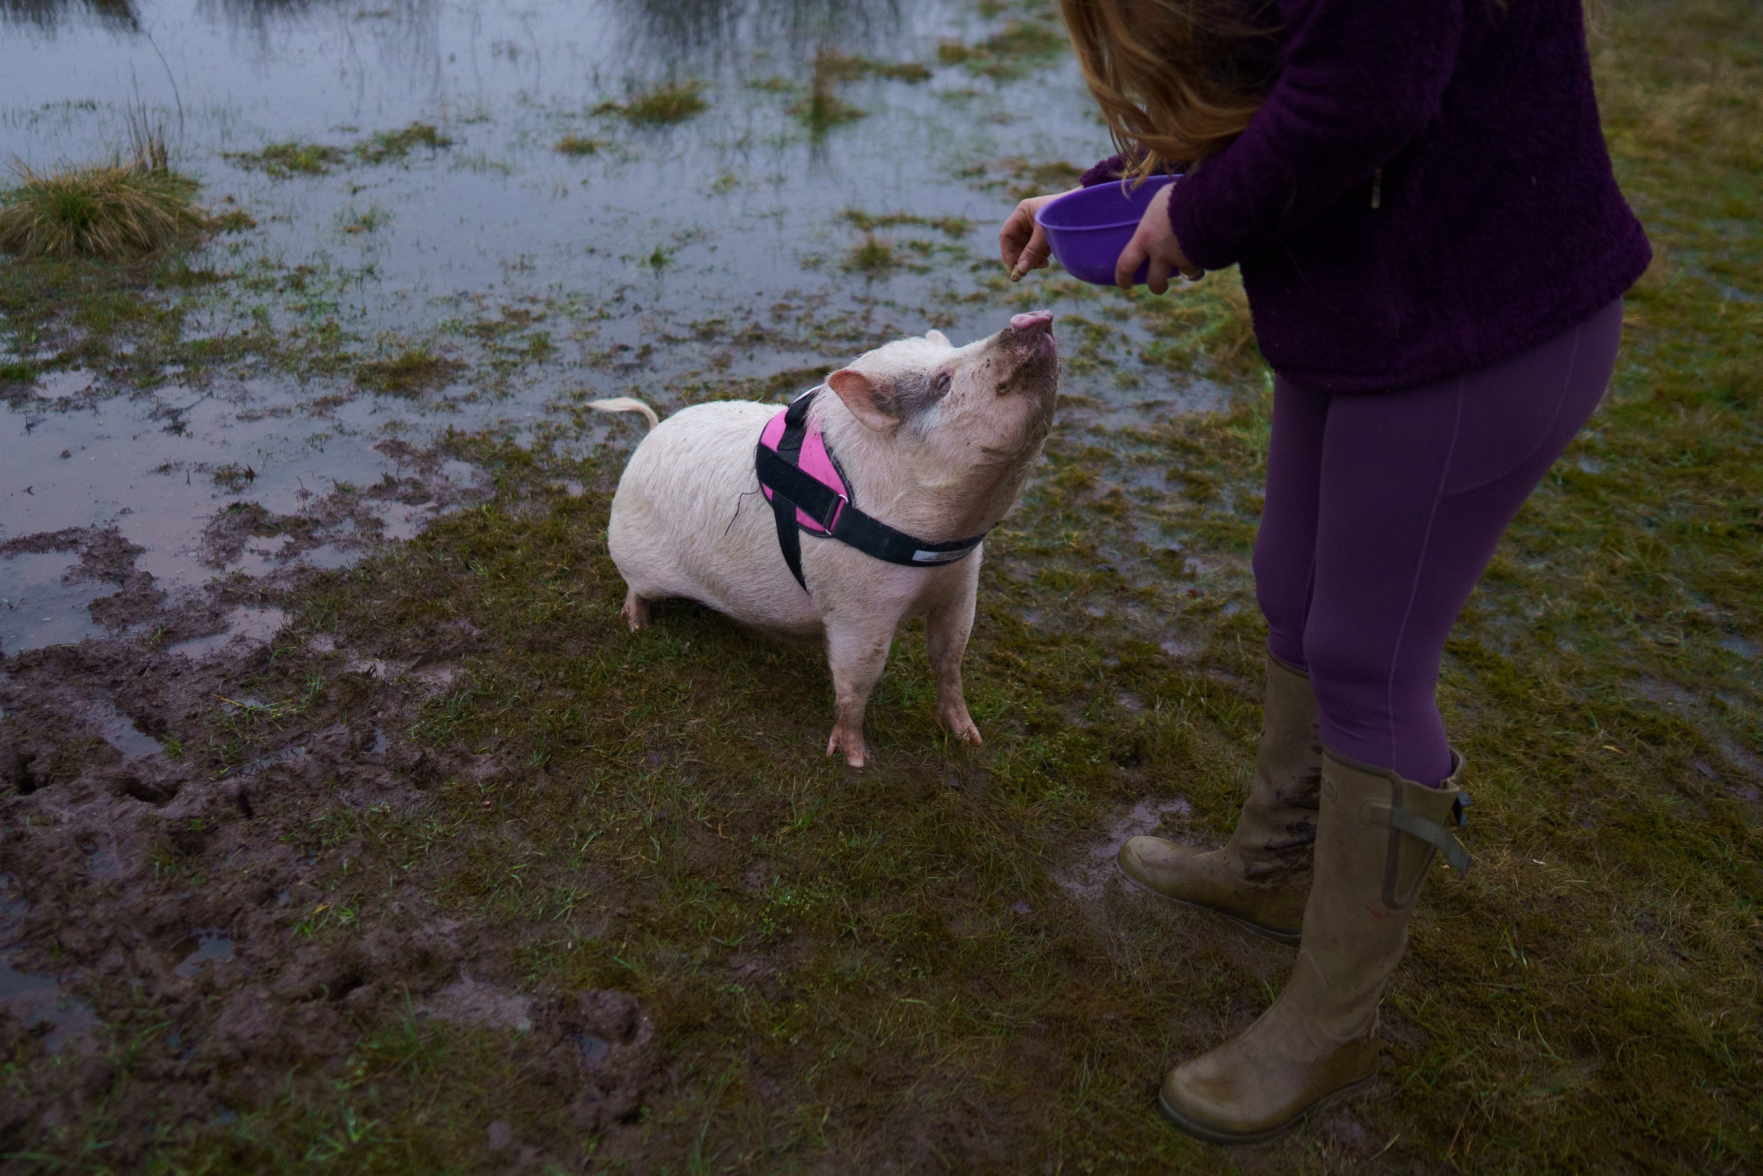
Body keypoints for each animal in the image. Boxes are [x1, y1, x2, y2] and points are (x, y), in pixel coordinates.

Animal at [590, 310, 1058, 767]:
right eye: (943, 380)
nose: (1034, 316)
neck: (943, 538)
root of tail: (648, 437)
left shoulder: (962, 581)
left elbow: (950, 657)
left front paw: (970, 739)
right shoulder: (858, 609)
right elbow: (859, 679)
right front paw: (856, 760)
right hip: (635, 556)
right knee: (634, 588)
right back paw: (636, 625)